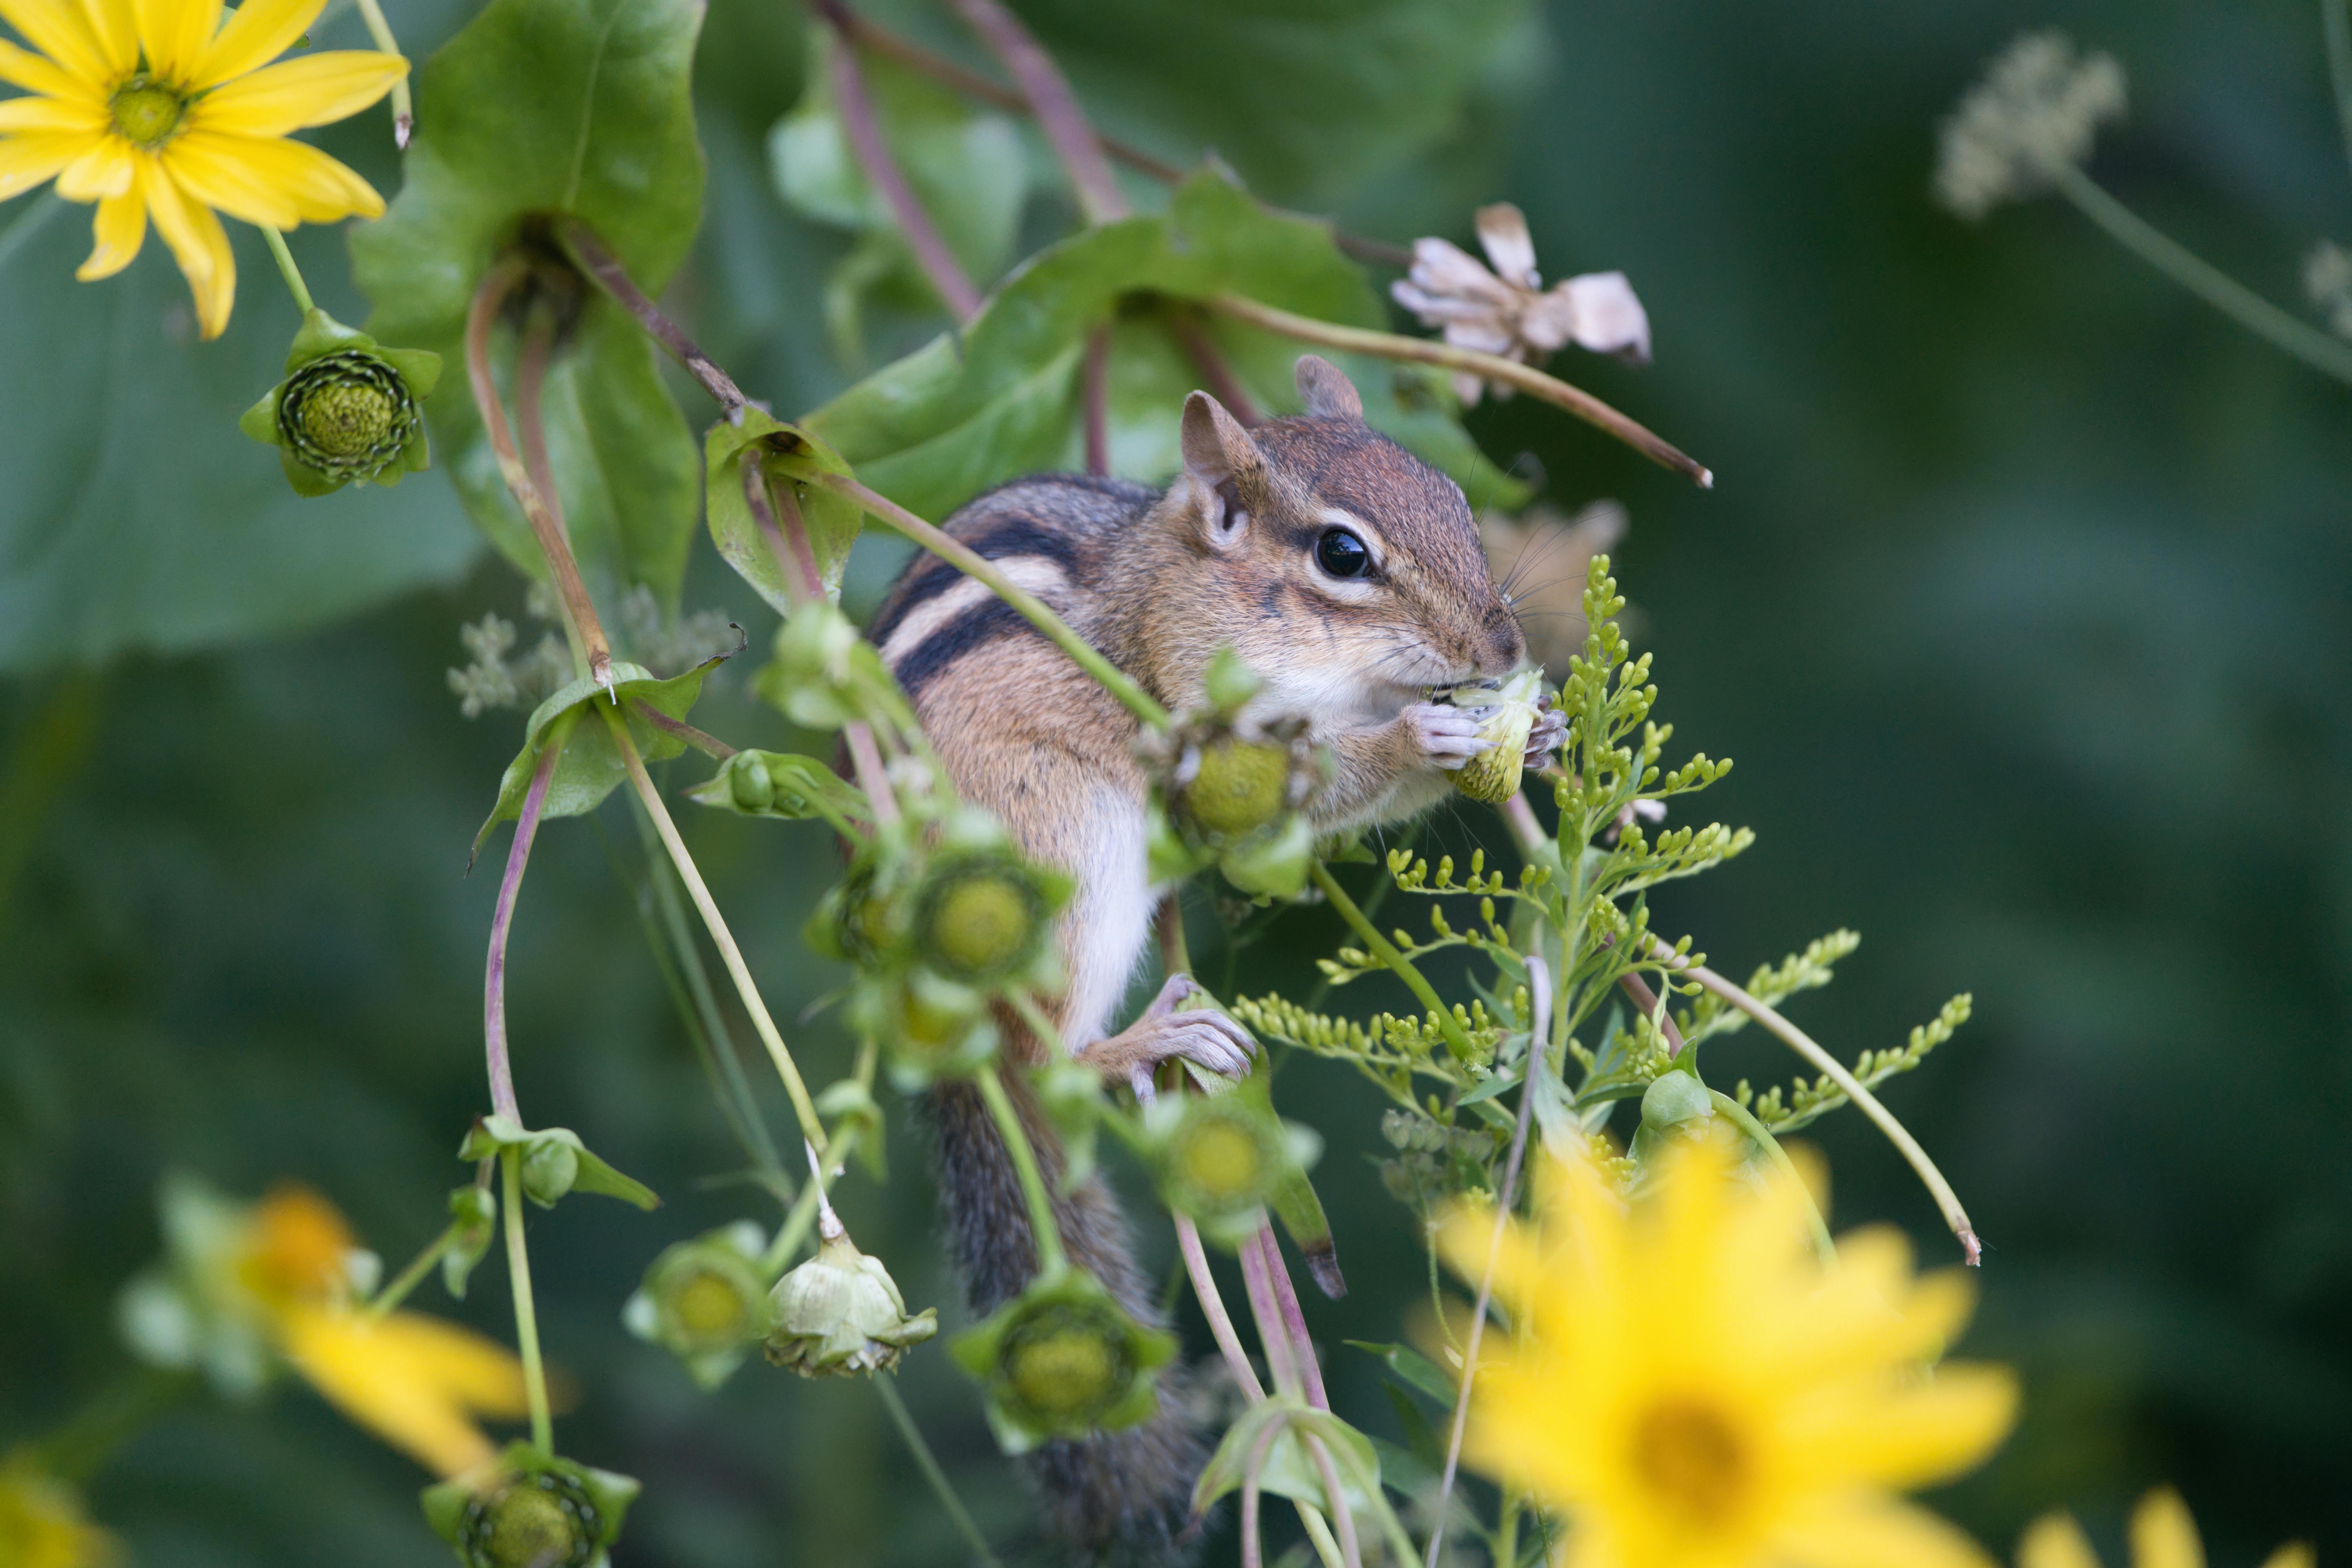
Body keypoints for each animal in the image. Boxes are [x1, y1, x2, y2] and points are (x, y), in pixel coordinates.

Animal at [865, 355, 1563, 1561]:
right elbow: (1300, 795)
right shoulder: (1199, 726)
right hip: (1056, 862)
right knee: (1047, 1053)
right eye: (1343, 556)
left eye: (1460, 507)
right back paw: (1150, 1035)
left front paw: (1544, 725)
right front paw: (1417, 741)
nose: (1505, 654)